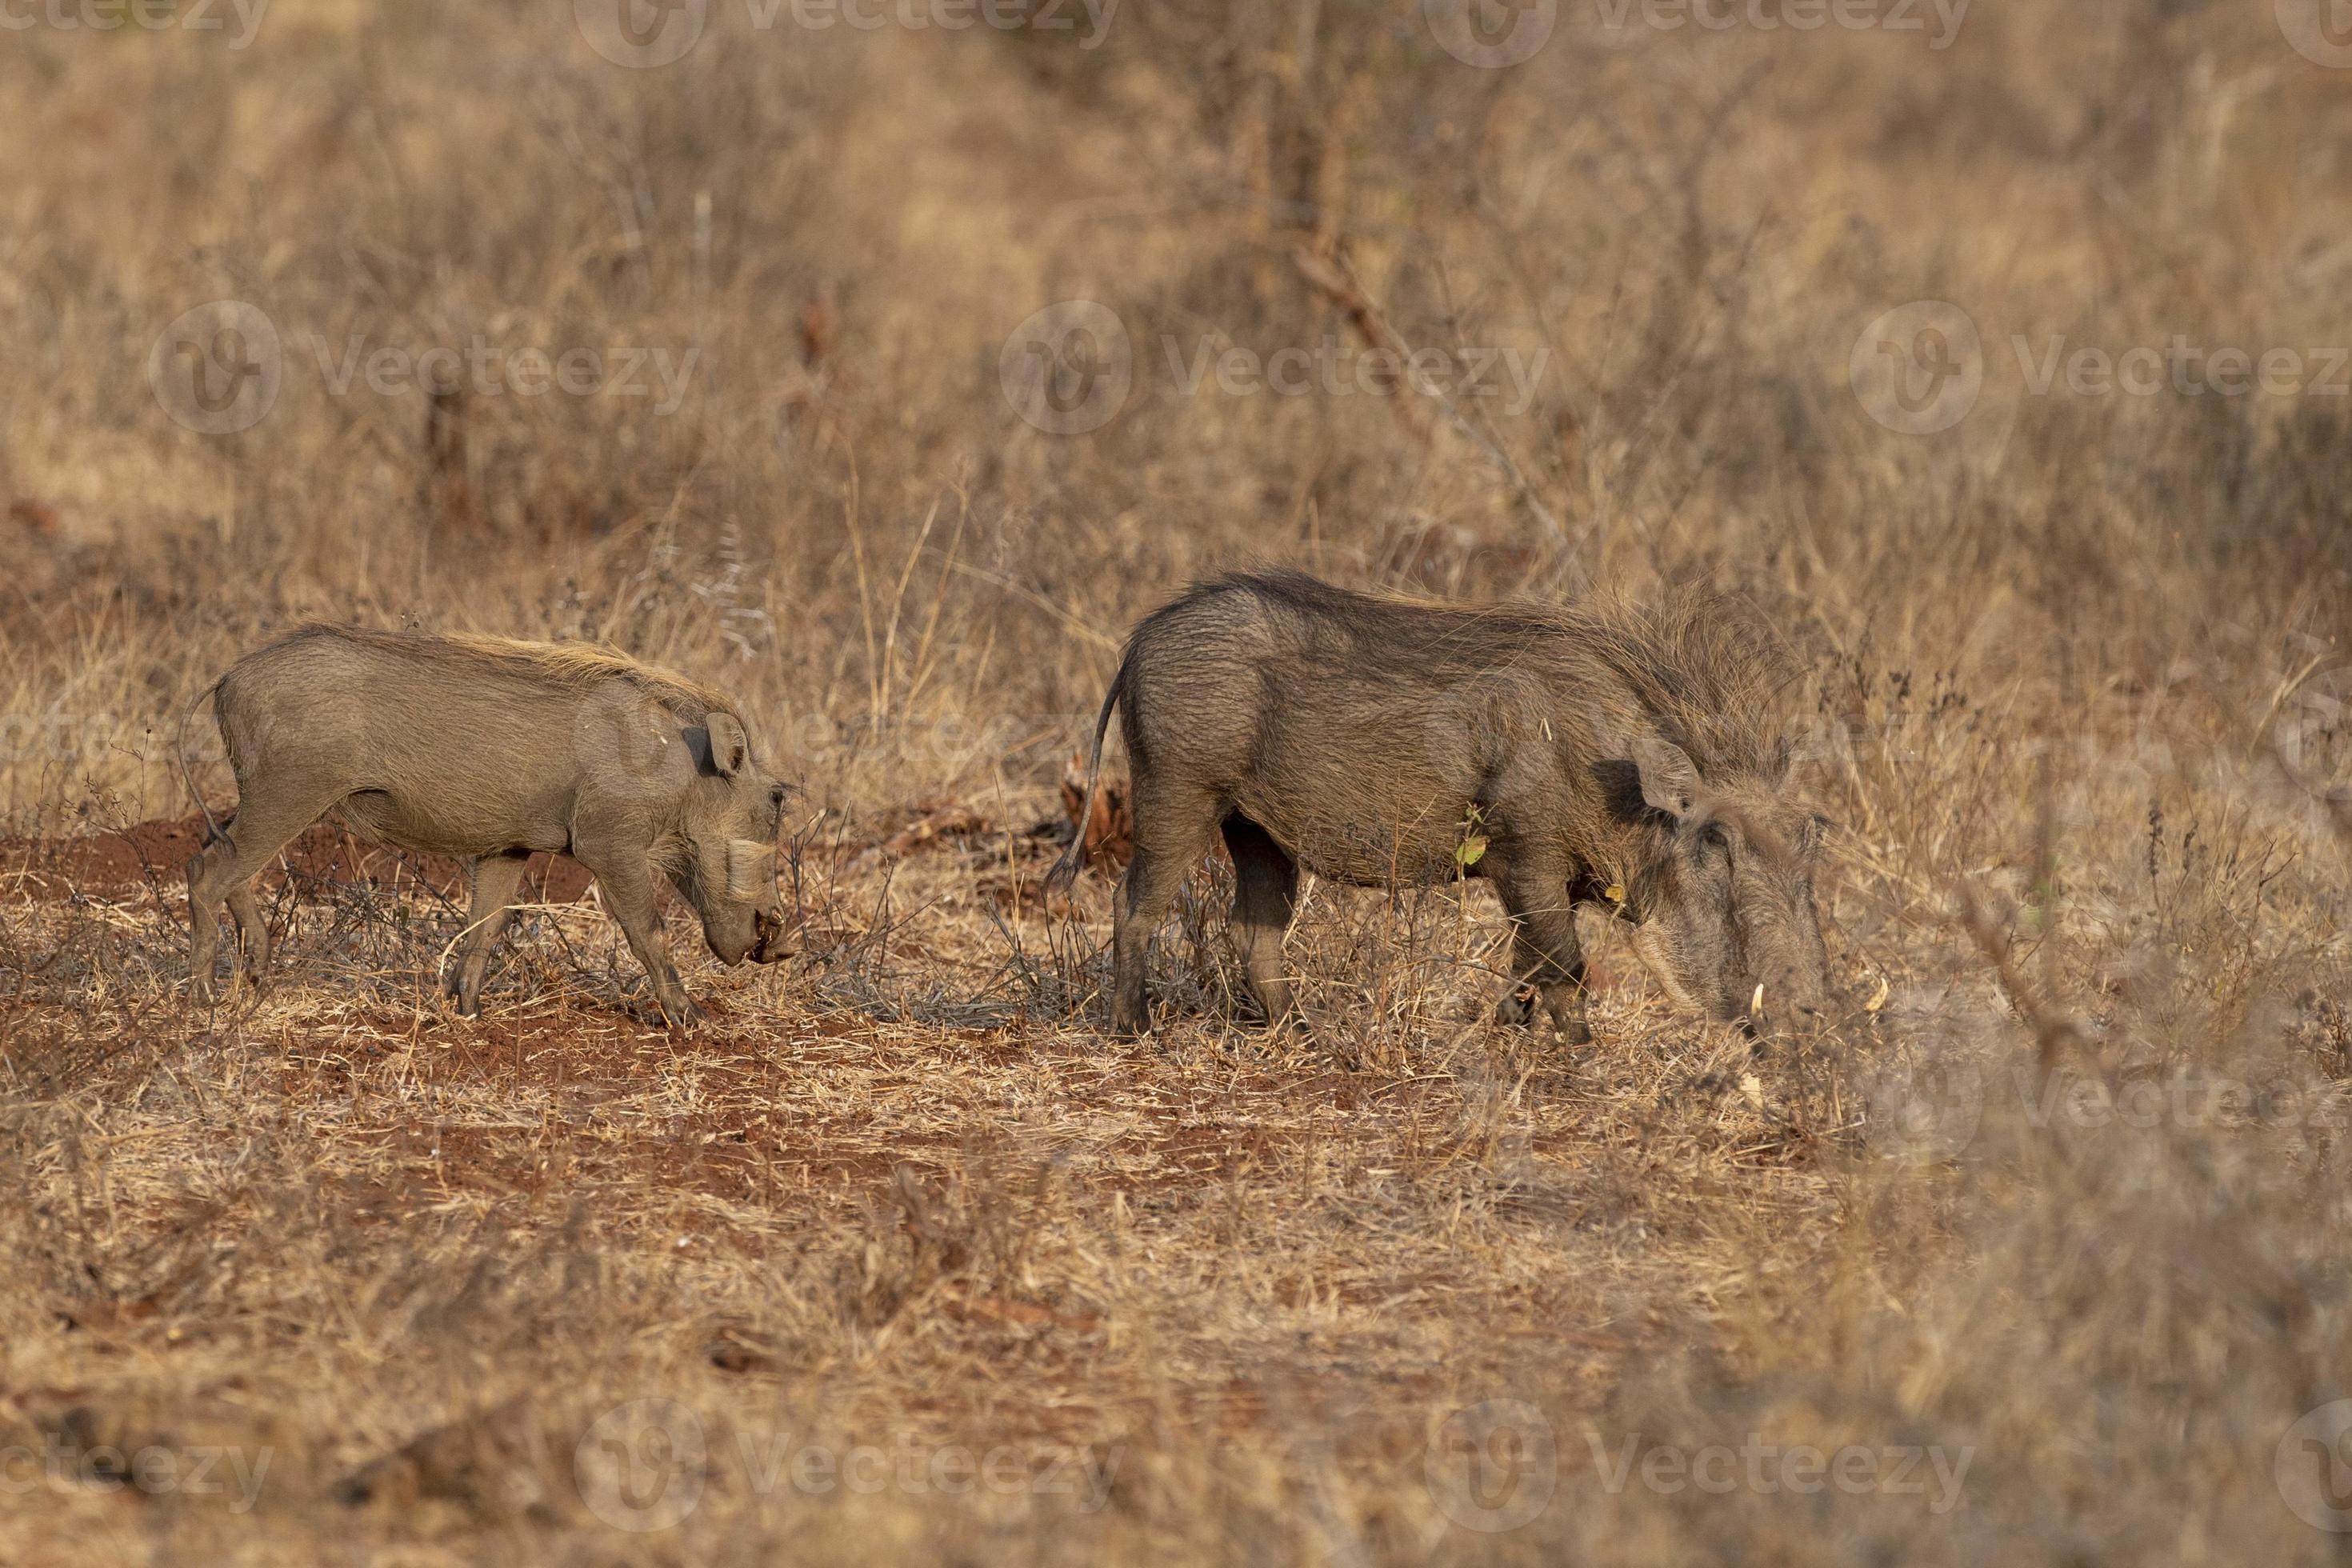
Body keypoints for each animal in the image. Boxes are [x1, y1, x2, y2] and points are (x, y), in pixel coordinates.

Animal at [178, 625, 793, 1025]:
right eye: (775, 801)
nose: (783, 950)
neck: (680, 768)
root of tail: (229, 675)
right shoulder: (611, 846)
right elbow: (650, 932)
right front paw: (693, 1020)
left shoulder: (509, 848)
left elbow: (485, 928)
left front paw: (469, 1013)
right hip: (290, 793)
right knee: (208, 871)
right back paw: (204, 999)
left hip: (264, 796)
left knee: (222, 856)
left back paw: (258, 975)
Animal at [1048, 571, 1832, 1041]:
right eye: (1716, 844)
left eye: (1809, 837)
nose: (1811, 1016)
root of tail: (1138, 641)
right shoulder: (1525, 859)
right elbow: (1563, 966)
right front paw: (1580, 1056)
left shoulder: (1539, 879)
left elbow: (1531, 965)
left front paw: (1508, 1033)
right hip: (1177, 795)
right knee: (1134, 905)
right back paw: (1132, 1028)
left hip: (1256, 831)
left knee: (1253, 929)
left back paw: (1303, 1032)